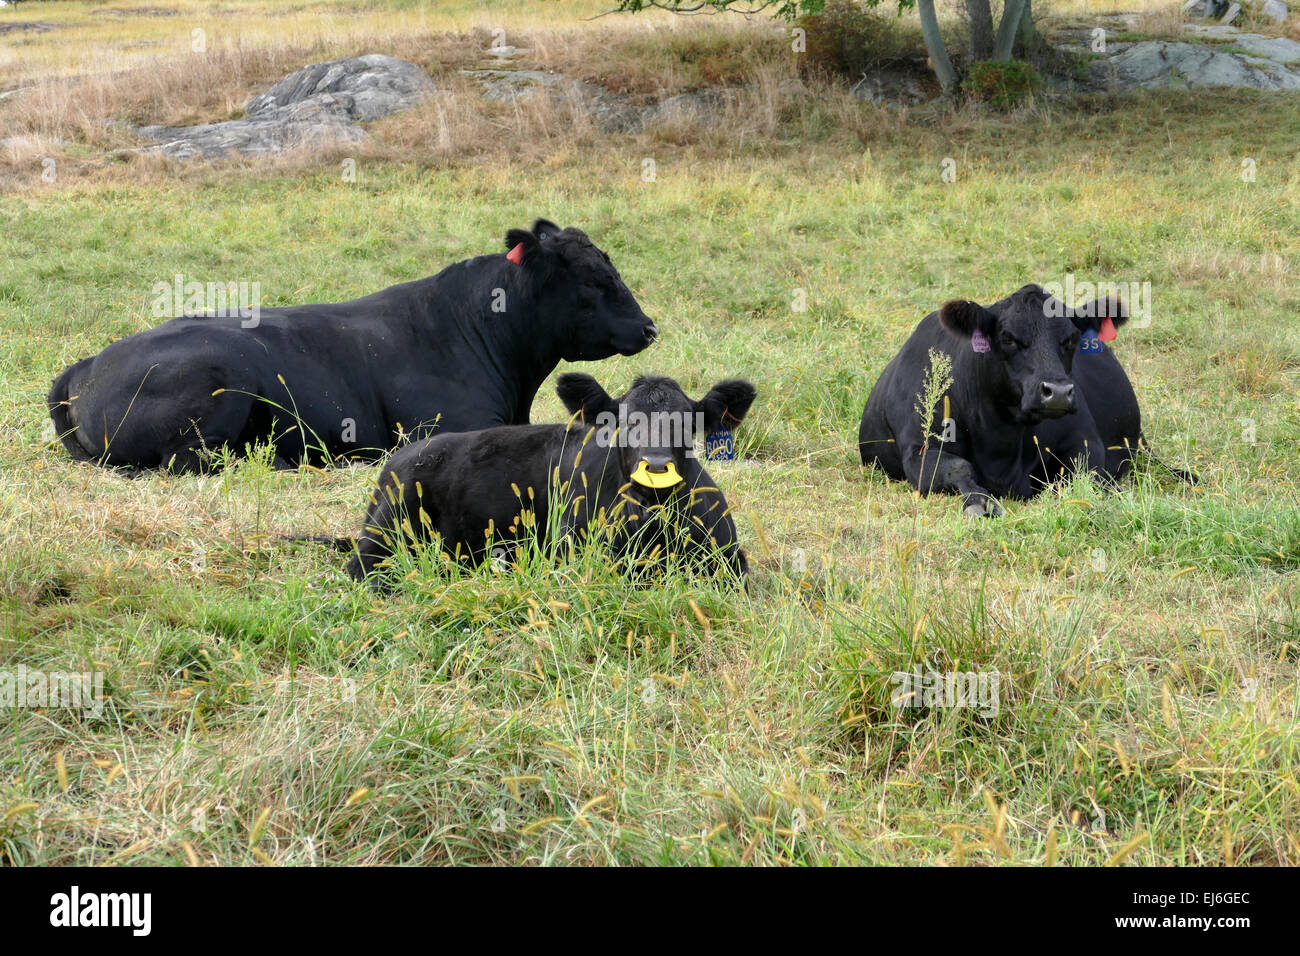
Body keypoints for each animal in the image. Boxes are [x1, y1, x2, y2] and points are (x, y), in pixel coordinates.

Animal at [47, 219, 657, 474]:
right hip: (221, 388)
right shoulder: (447, 424)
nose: (649, 327)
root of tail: (87, 365)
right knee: (190, 460)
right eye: (592, 280)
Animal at [325, 372, 756, 591]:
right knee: (365, 568)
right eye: (623, 421)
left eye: (687, 423)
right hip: (386, 533)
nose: (656, 466)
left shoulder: (731, 561)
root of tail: (401, 455)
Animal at [858, 283, 1191, 516]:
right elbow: (958, 468)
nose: (1057, 392)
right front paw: (979, 503)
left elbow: (1086, 475)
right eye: (1007, 337)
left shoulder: (1085, 439)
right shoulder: (919, 448)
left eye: (1071, 338)